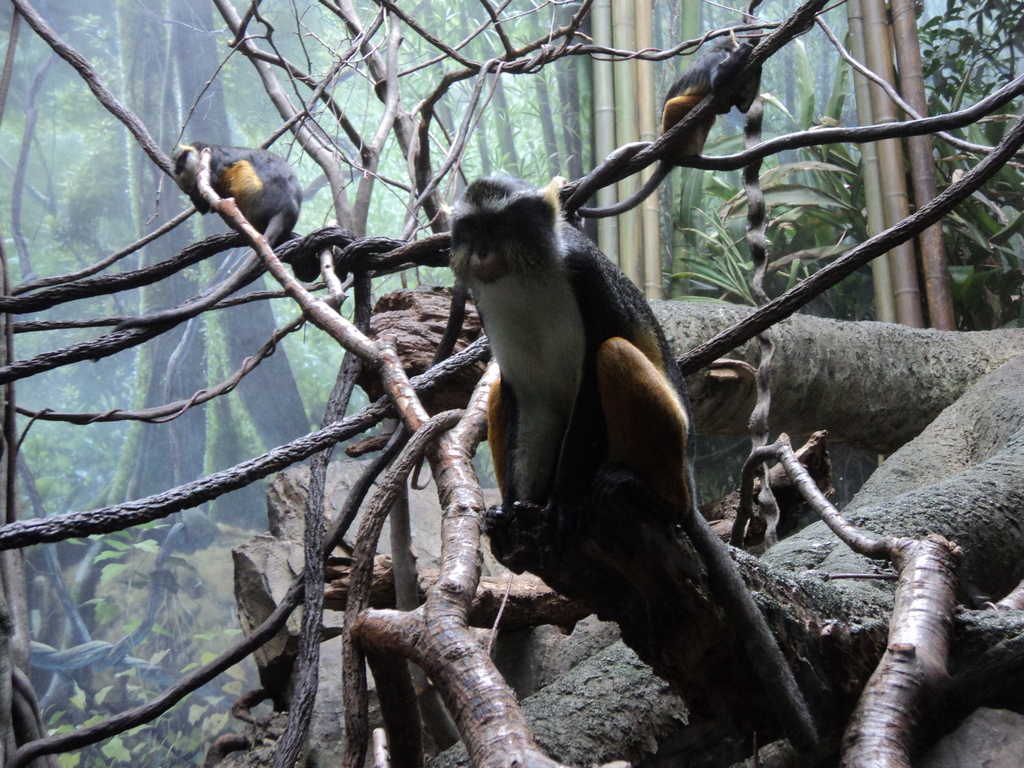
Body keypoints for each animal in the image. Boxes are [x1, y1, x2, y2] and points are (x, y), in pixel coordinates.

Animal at [116, 143, 307, 330]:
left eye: (181, 163)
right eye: (177, 166)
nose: (177, 170)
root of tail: (287, 207)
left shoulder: (212, 159)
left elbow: (211, 186)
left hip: (254, 196)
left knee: (239, 166)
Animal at [450, 176, 817, 754]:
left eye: (501, 225)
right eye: (471, 229)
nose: (483, 253)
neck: (526, 279)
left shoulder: (588, 280)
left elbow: (591, 380)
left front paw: (565, 506)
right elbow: (526, 396)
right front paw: (513, 512)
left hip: (670, 446)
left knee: (614, 354)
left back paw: (648, 494)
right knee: (500, 393)